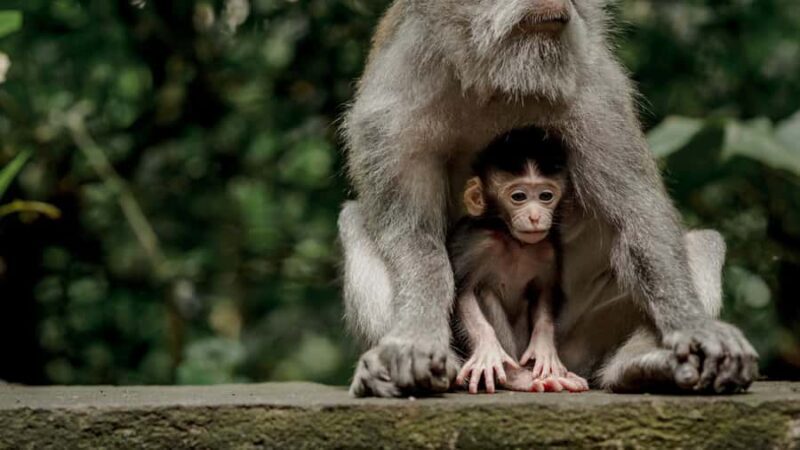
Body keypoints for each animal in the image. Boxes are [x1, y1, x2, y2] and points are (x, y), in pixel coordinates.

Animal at [448, 128, 589, 394]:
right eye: (519, 196)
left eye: (545, 196)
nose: (535, 216)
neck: (514, 242)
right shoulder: (477, 243)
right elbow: (463, 293)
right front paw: (488, 348)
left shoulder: (547, 249)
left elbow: (544, 293)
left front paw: (545, 349)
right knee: (485, 292)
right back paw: (517, 377)